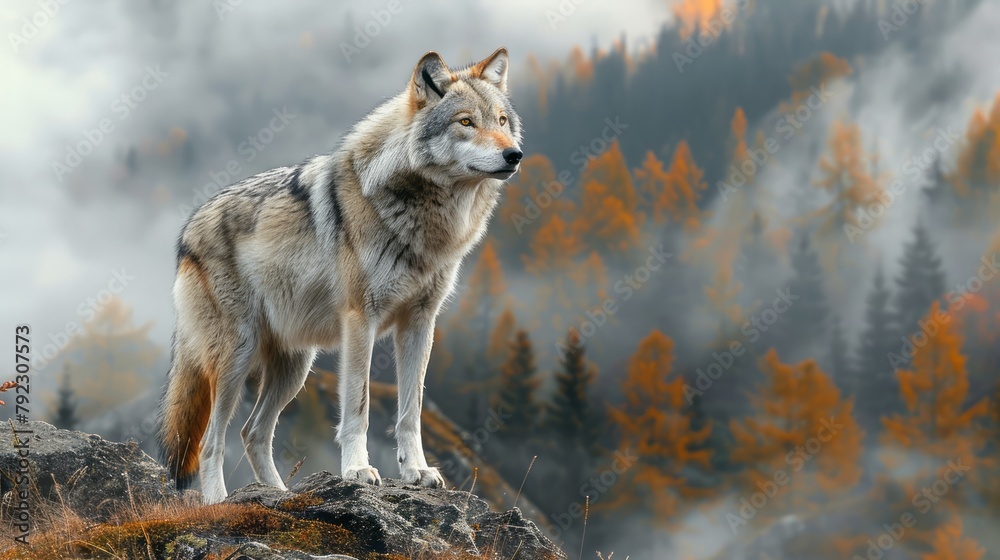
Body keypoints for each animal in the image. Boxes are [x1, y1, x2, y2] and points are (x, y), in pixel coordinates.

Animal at [158, 47, 522, 504]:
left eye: (502, 121)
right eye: (466, 122)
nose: (514, 155)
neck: (423, 216)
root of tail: (186, 232)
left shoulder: (420, 324)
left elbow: (411, 411)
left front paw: (417, 472)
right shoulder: (359, 320)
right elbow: (358, 407)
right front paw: (358, 470)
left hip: (295, 367)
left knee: (253, 433)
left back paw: (281, 496)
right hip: (236, 357)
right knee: (212, 440)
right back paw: (219, 502)